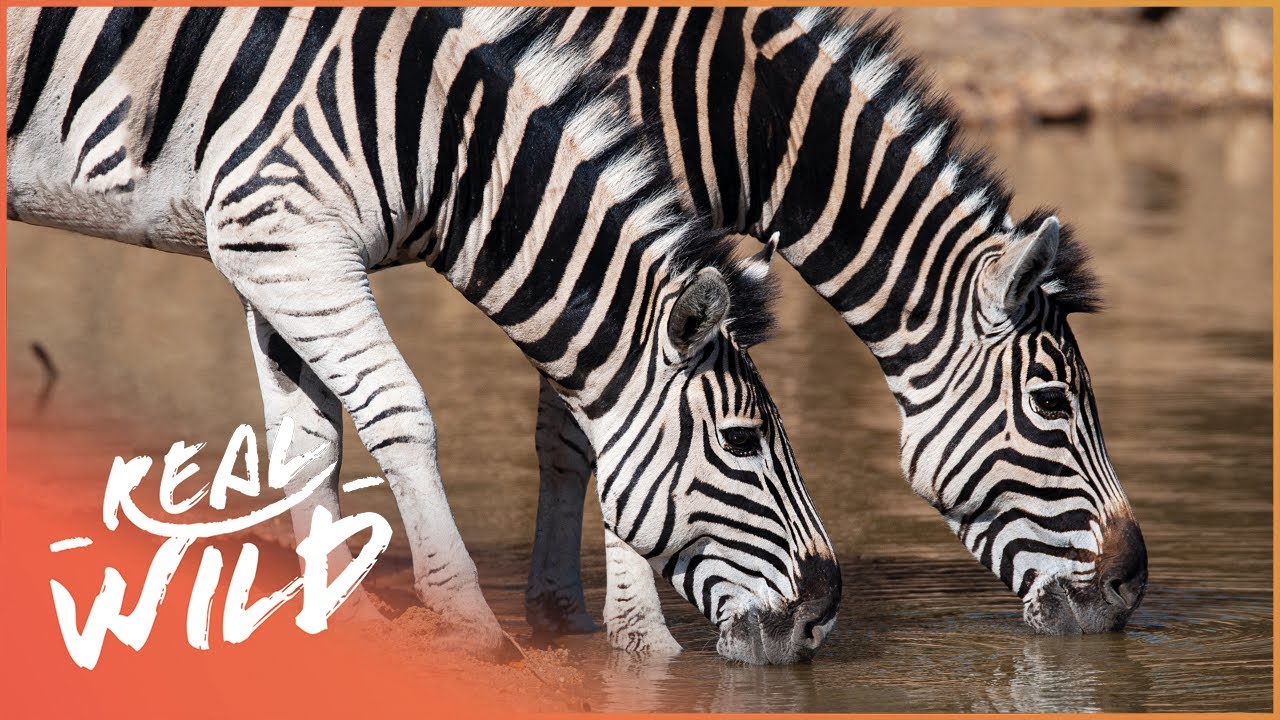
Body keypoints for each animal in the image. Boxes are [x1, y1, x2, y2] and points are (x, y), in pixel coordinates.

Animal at [6, 7, 842, 665]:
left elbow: (308, 441)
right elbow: (399, 414)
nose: (822, 615)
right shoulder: (287, 238)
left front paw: (339, 615)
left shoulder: (271, 252)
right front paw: (466, 622)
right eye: (740, 441)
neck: (436, 131)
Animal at [523, 7, 1148, 650]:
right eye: (1050, 402)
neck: (741, 124)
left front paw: (559, 611)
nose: (1130, 589)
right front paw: (639, 638)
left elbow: (577, 434)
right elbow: (592, 434)